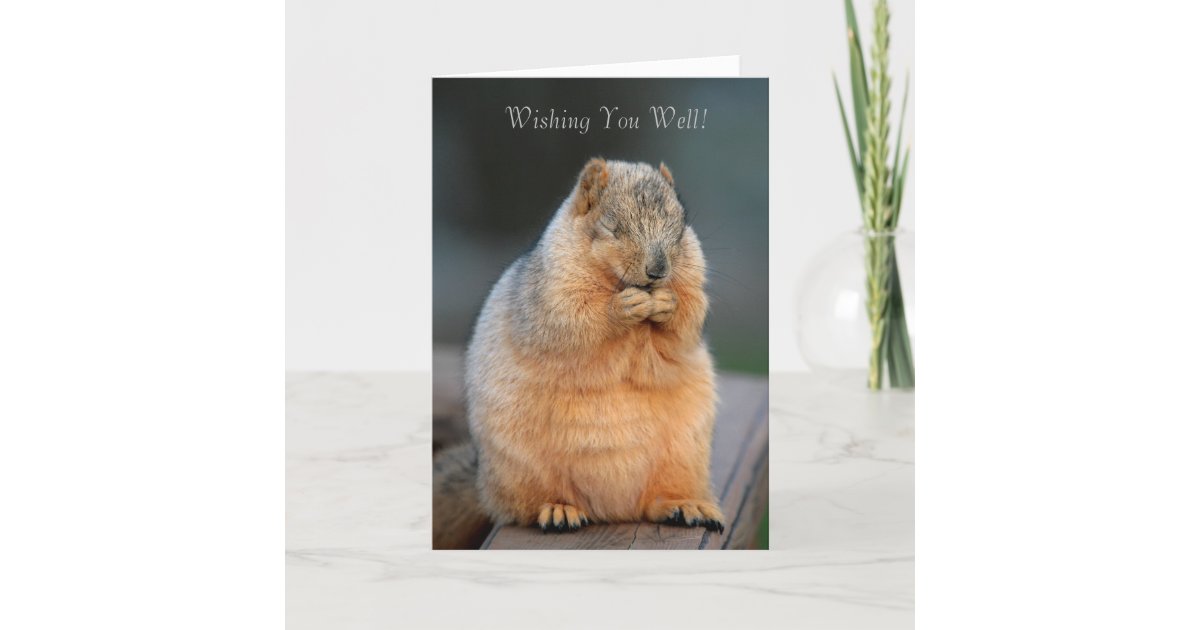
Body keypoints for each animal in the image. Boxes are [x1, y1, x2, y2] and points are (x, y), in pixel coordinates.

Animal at [433, 158, 722, 549]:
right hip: (523, 467)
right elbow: (574, 320)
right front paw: (620, 308)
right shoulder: (554, 288)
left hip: (684, 454)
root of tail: (614, 510)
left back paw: (683, 505)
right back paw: (558, 510)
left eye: (680, 228)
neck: (618, 281)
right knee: (526, 506)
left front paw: (667, 304)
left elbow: (687, 321)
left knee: (656, 500)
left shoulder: (692, 276)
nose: (658, 271)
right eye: (612, 227)